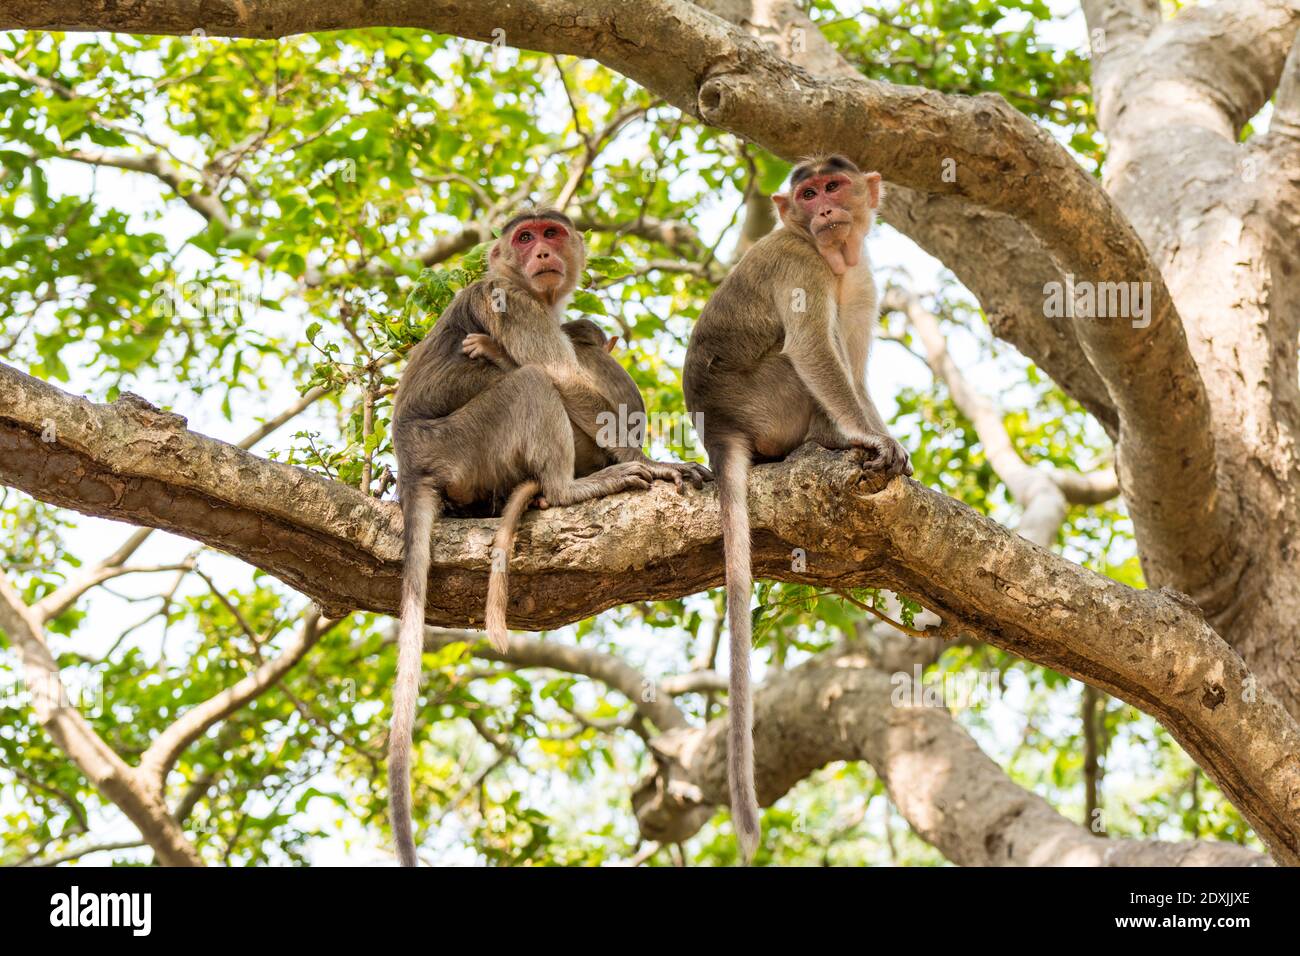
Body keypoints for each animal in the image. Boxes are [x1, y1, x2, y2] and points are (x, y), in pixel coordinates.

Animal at [390, 209, 705, 867]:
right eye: (525, 236)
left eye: (550, 233)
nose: (540, 252)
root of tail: (409, 463)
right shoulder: (509, 300)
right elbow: (556, 374)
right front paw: (649, 458)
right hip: (463, 445)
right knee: (533, 382)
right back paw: (568, 488)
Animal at [681, 155, 912, 862]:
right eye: (806, 194)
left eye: (832, 187)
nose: (825, 208)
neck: (832, 255)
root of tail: (719, 426)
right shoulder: (798, 262)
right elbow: (815, 351)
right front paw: (867, 438)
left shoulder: (861, 278)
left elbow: (854, 370)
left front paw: (883, 437)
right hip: (768, 402)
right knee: (800, 359)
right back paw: (828, 440)